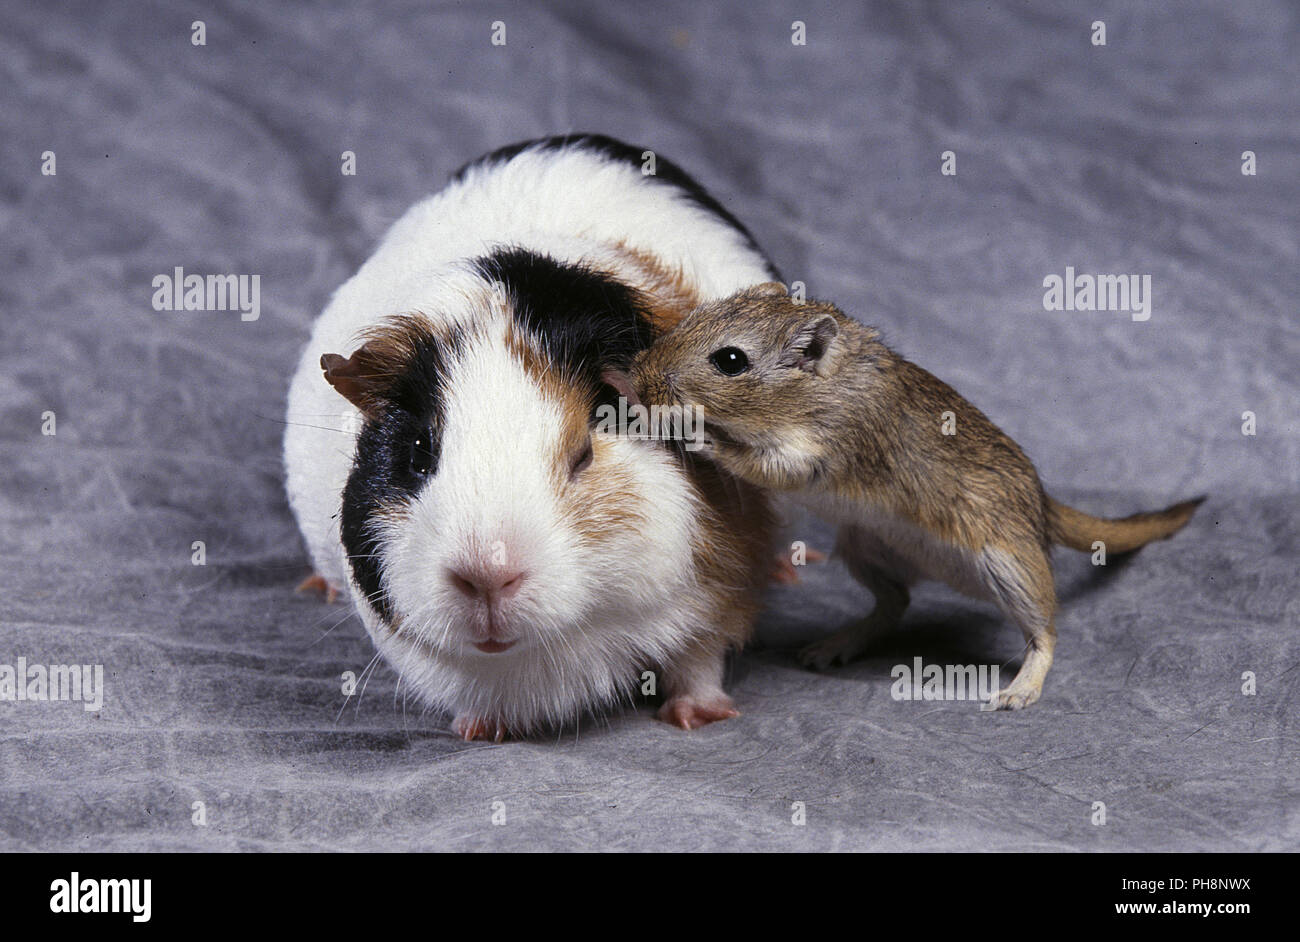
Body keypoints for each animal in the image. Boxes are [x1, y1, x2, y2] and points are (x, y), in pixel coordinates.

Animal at [283, 136, 779, 740]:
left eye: (584, 453)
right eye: (420, 454)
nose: (486, 578)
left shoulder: (715, 589)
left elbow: (698, 662)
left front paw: (698, 719)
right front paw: (481, 730)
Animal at [629, 284, 1204, 710]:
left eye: (730, 360)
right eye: (694, 316)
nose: (637, 379)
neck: (821, 386)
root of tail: (1043, 504)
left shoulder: (816, 453)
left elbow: (752, 459)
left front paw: (692, 433)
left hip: (1011, 566)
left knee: (1045, 632)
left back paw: (1020, 691)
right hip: (865, 546)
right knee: (895, 603)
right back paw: (832, 646)